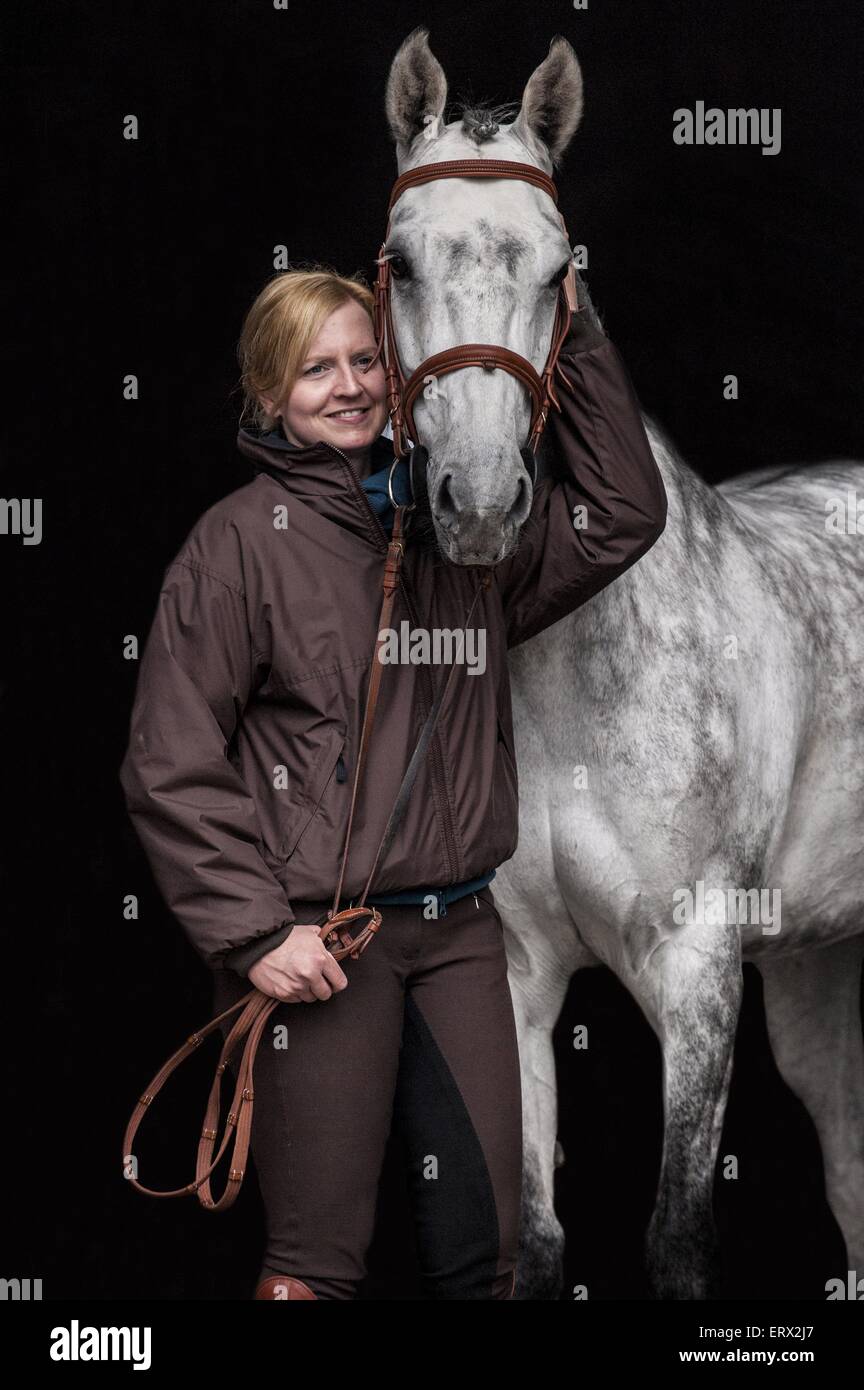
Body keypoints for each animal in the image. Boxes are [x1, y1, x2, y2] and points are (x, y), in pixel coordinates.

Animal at [382, 27, 864, 1298]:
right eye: (400, 263)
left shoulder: (697, 964)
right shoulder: (515, 971)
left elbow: (678, 1234)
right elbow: (538, 1237)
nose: (483, 504)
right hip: (818, 966)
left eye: (560, 269)